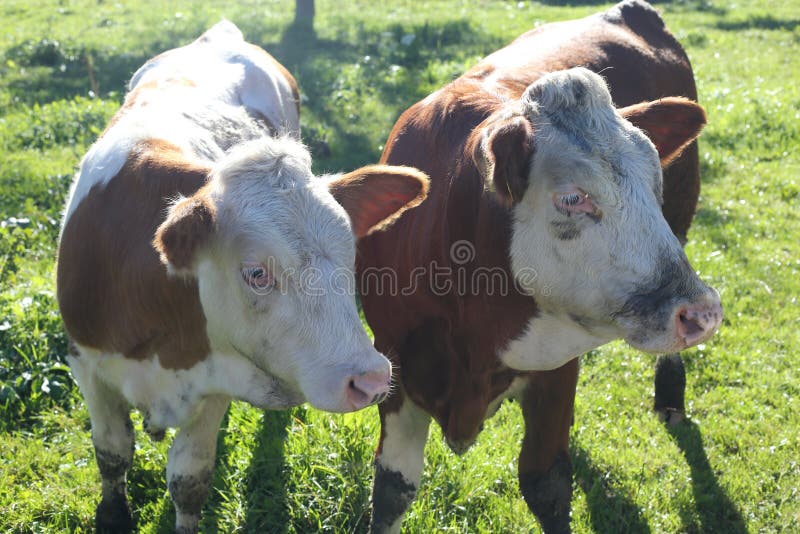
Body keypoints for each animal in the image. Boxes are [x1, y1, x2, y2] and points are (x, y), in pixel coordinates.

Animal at [56, 21, 429, 534]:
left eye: (350, 257)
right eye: (256, 273)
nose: (370, 380)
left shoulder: (214, 381)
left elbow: (189, 480)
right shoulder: (87, 367)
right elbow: (111, 453)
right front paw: (113, 514)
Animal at [357, 1, 722, 532]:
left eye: (654, 179)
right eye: (572, 198)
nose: (701, 313)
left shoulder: (557, 370)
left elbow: (546, 483)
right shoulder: (395, 367)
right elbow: (392, 489)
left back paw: (670, 395)